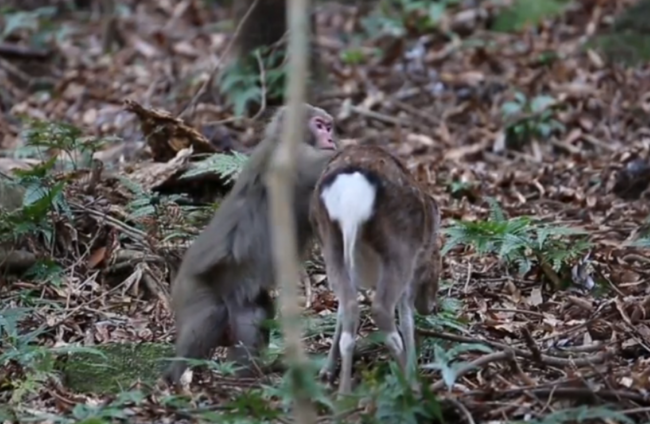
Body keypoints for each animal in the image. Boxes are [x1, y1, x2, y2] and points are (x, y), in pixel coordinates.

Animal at [163, 103, 339, 385]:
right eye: (320, 126)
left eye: (329, 127)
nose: (331, 138)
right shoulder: (299, 159)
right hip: (190, 288)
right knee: (212, 312)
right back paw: (177, 377)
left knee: (255, 313)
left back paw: (241, 377)